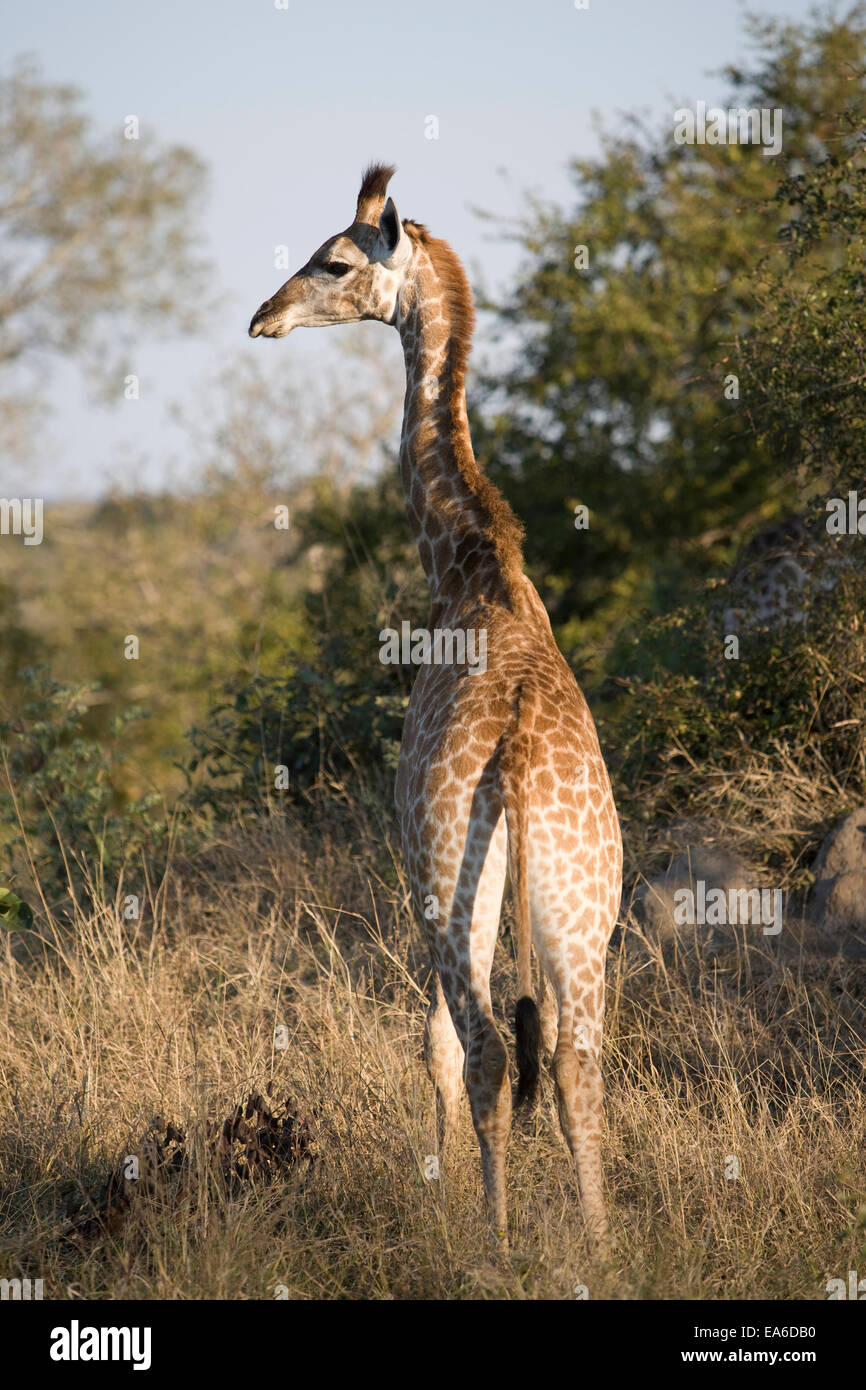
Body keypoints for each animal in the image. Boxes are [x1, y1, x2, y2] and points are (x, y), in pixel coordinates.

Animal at [249, 165, 623, 1250]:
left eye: (333, 260)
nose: (262, 317)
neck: (469, 567)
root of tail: (518, 764)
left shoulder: (419, 868)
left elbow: (434, 1046)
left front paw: (446, 1200)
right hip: (583, 905)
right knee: (576, 1060)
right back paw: (602, 1245)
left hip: (454, 885)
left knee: (487, 1046)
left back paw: (492, 1243)